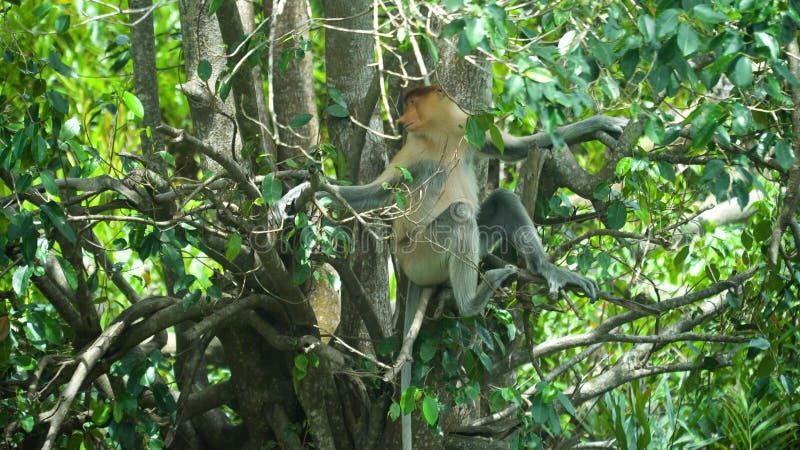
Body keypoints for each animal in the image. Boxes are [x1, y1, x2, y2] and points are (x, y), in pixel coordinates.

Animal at [277, 85, 618, 450]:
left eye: (412, 103)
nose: (401, 118)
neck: (436, 133)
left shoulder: (465, 128)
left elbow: (517, 148)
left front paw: (602, 123)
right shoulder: (411, 153)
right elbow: (375, 193)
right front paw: (301, 192)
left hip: (475, 242)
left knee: (502, 199)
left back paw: (547, 270)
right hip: (422, 255)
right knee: (459, 214)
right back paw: (471, 302)